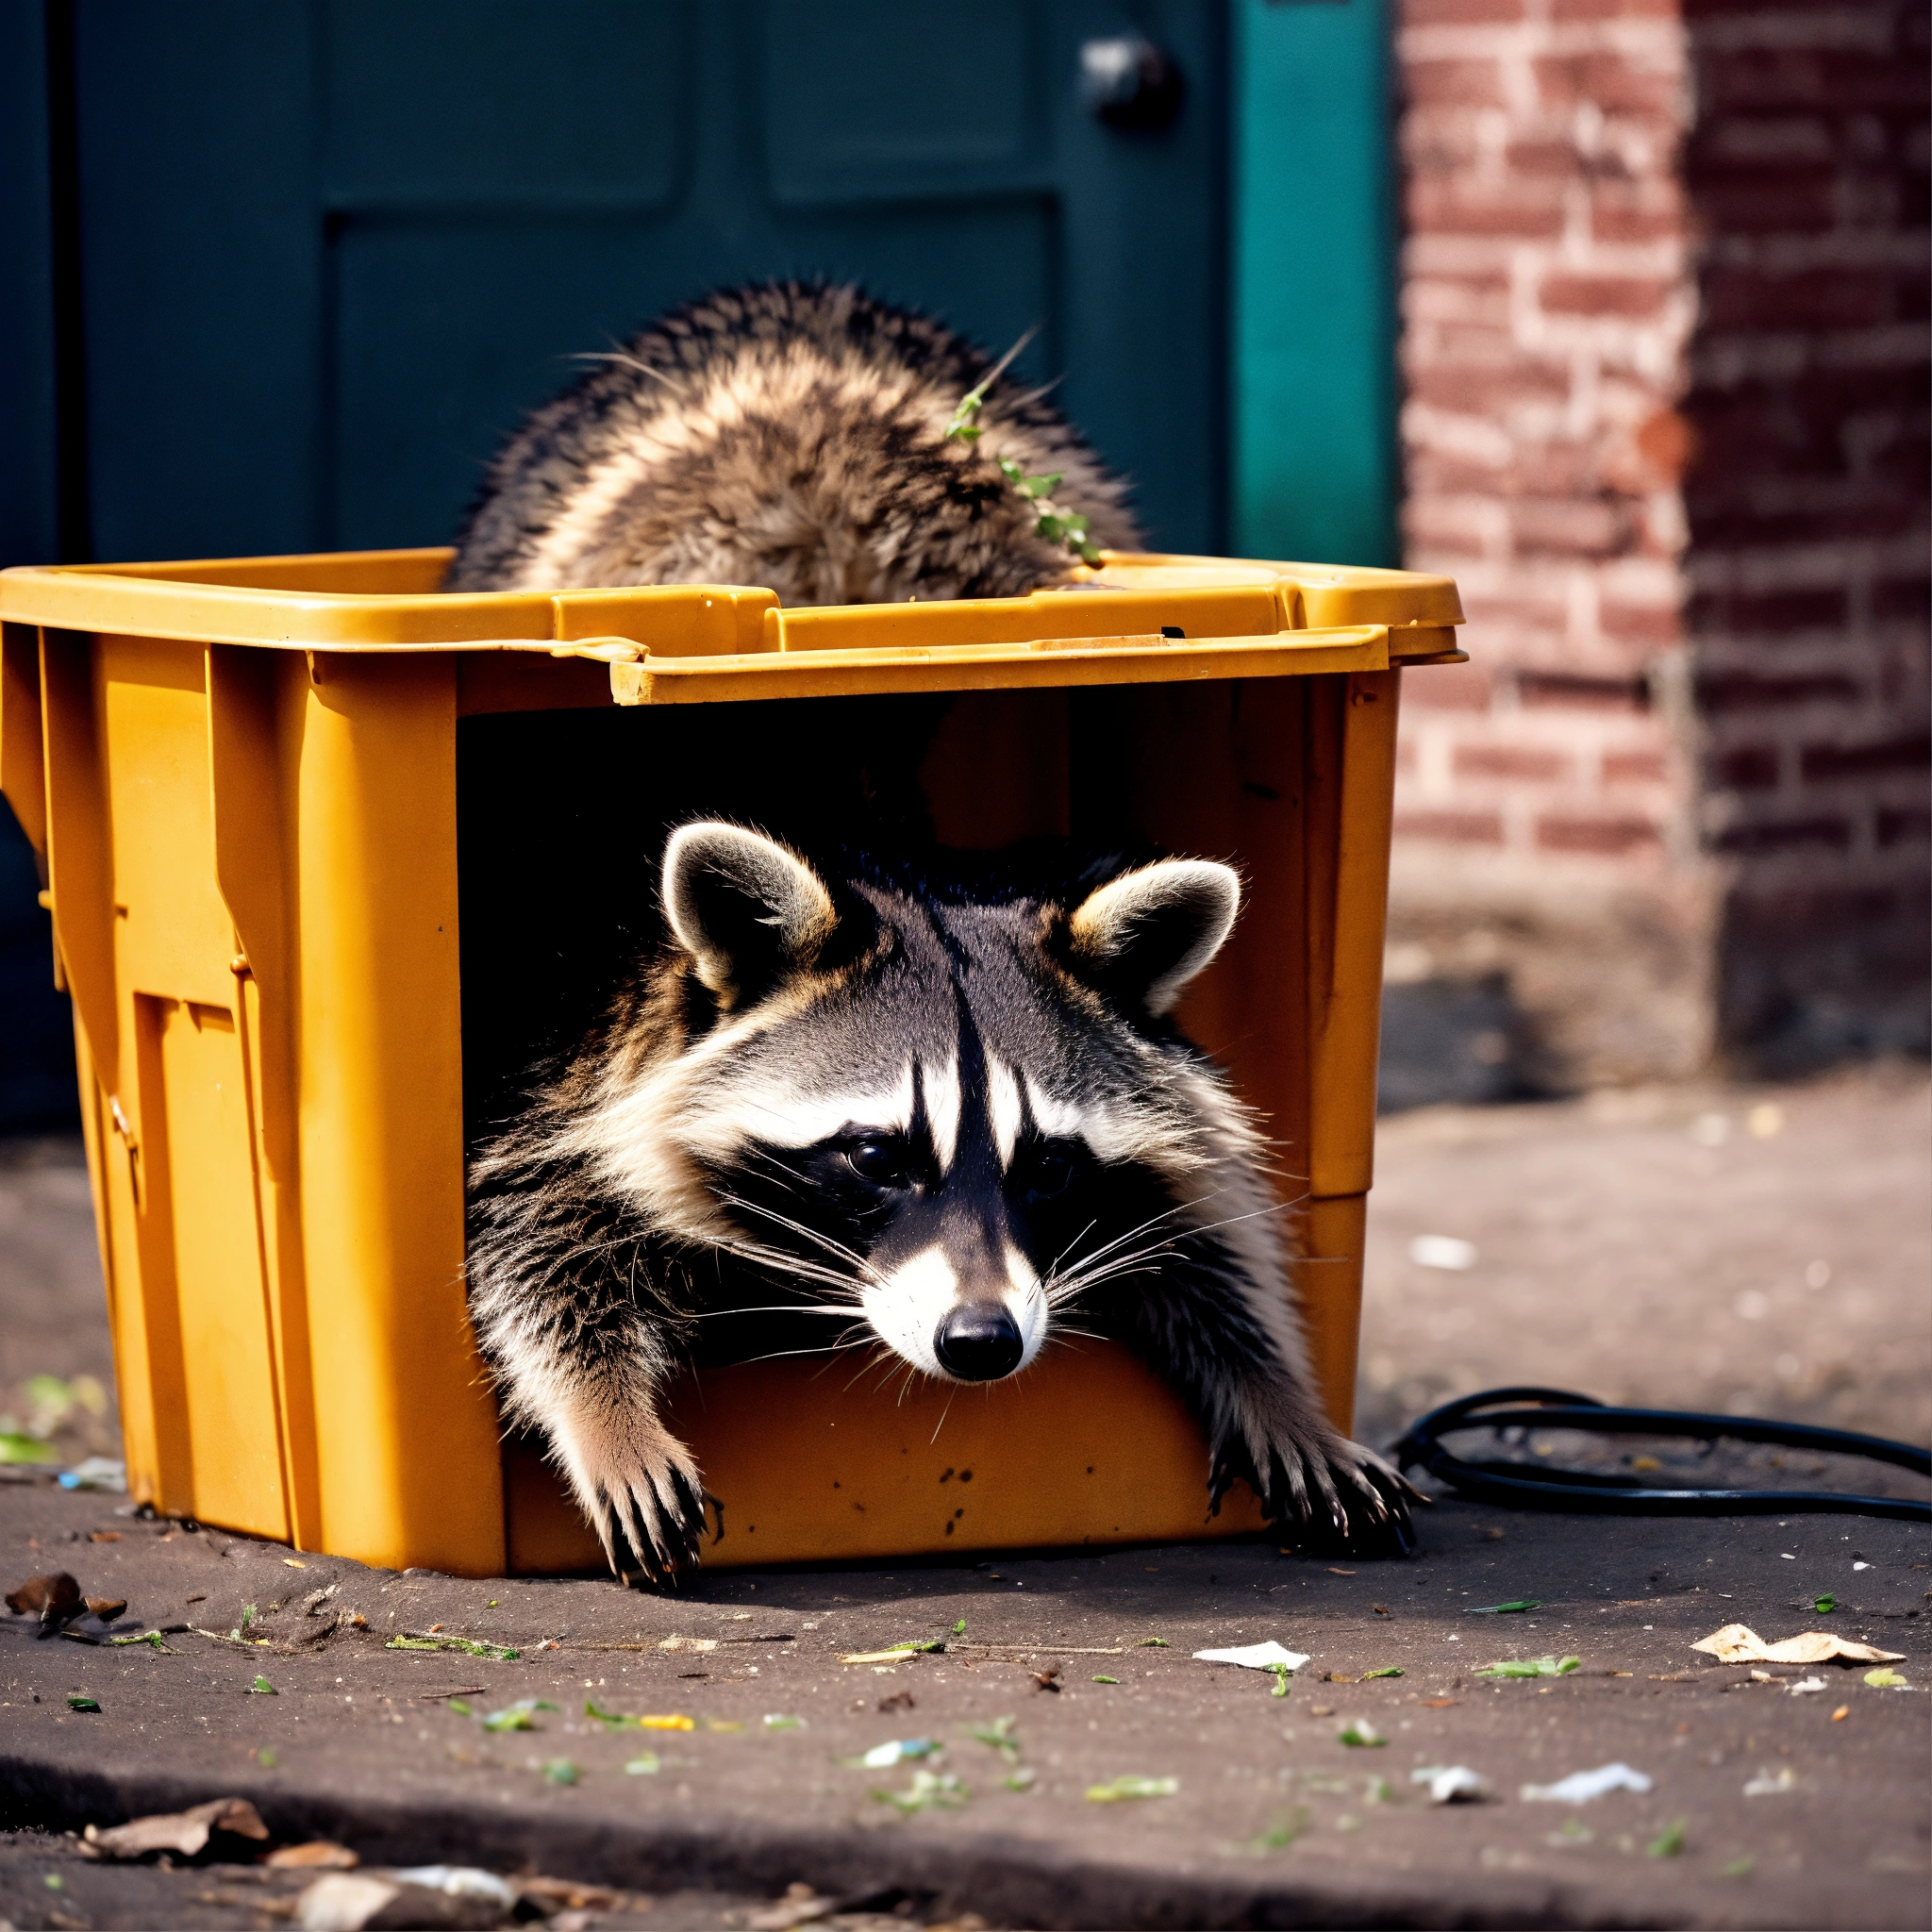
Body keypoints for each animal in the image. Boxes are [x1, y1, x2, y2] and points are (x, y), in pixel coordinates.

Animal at [465, 825, 1417, 1584]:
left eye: (1048, 1167)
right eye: (877, 1157)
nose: (982, 1340)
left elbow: (1202, 1243)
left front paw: (1277, 1390)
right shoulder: (572, 1097)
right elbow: (539, 1248)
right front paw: (605, 1415)